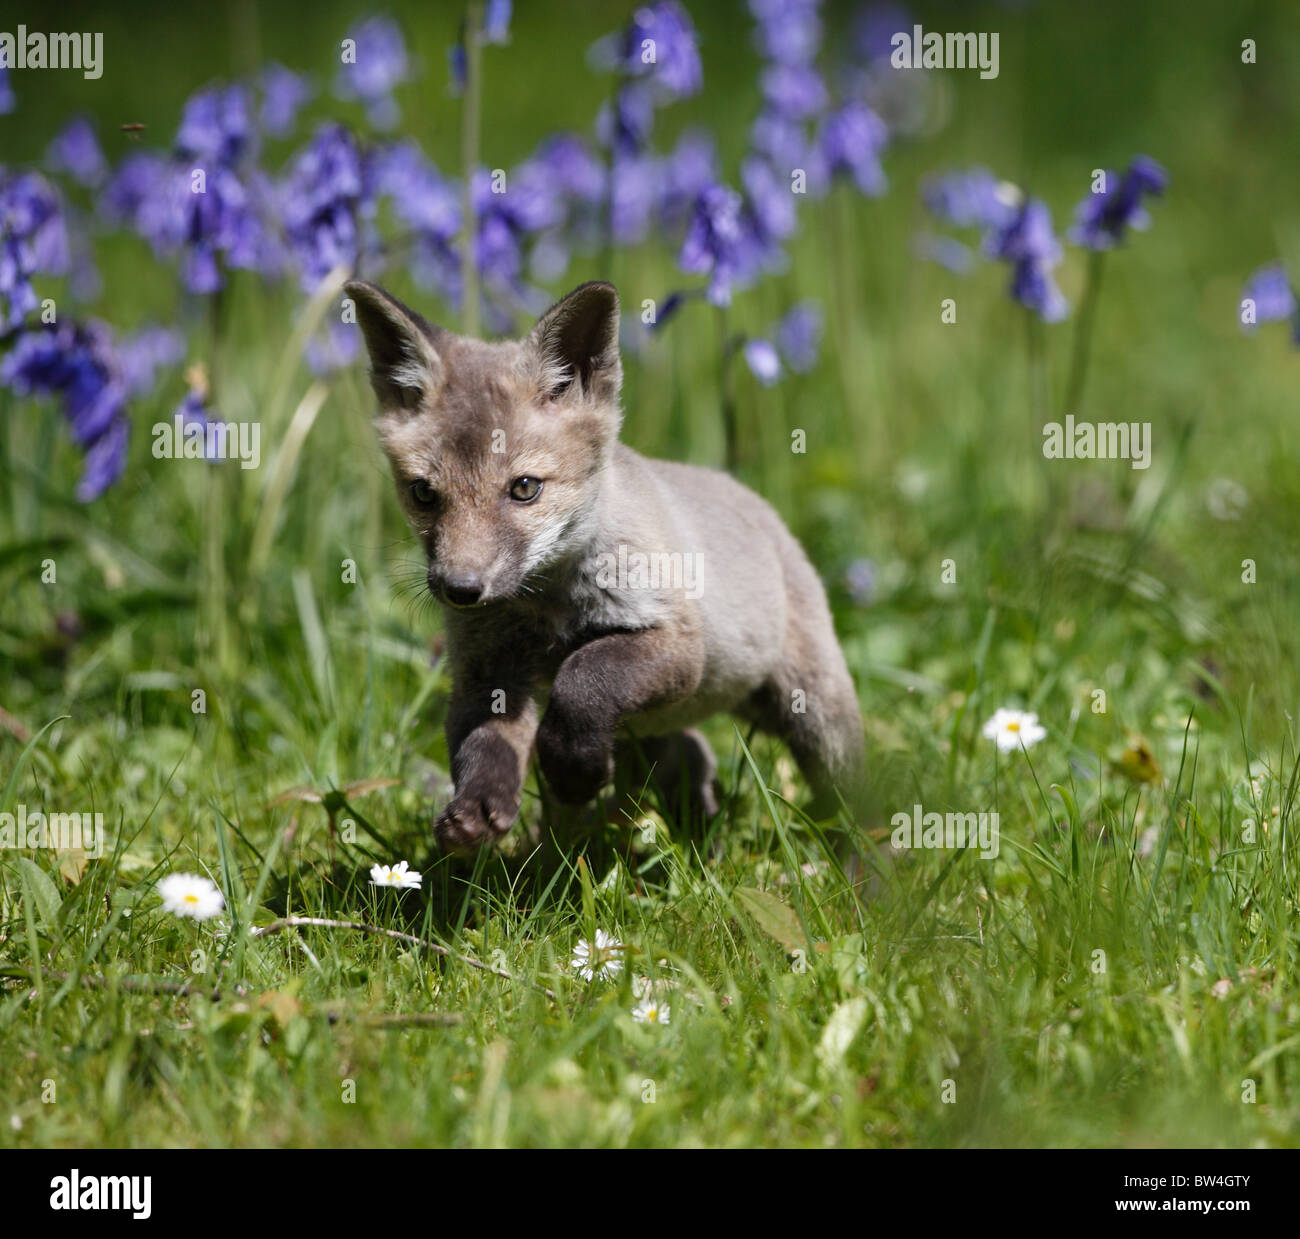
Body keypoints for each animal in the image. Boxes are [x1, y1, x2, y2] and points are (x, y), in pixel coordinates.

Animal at [346, 277, 864, 853]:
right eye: (423, 494)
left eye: (524, 488)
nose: (460, 589)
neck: (550, 606)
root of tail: (753, 498)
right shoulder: (487, 671)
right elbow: (482, 746)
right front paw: (478, 809)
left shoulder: (678, 644)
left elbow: (582, 678)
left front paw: (573, 774)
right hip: (659, 725)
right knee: (690, 754)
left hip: (808, 708)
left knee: (855, 795)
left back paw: (865, 864)